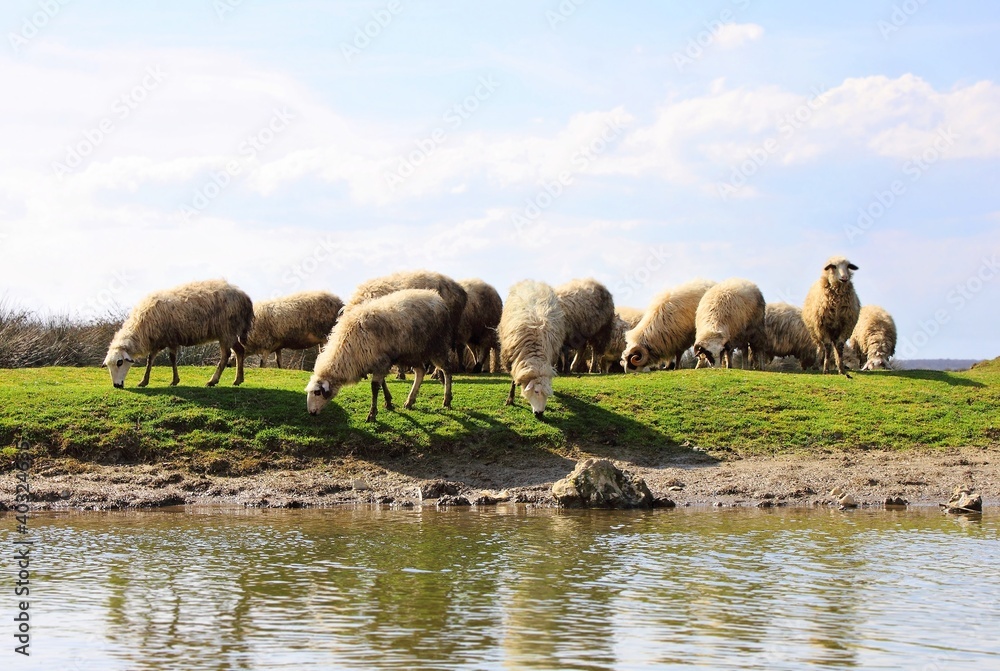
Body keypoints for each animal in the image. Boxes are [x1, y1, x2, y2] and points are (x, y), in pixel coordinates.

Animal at [103, 279, 253, 388]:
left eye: (120, 362)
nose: (116, 385)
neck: (141, 326)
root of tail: (244, 296)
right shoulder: (159, 341)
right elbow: (150, 360)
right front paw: (144, 381)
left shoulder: (170, 339)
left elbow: (172, 359)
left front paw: (174, 381)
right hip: (230, 332)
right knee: (240, 350)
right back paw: (238, 380)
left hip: (226, 330)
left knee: (225, 355)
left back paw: (213, 381)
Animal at [305, 289, 457, 422]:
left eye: (317, 392)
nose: (311, 413)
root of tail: (437, 297)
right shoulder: (379, 361)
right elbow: (382, 383)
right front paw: (388, 402)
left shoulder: (381, 361)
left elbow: (374, 387)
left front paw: (372, 414)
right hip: (413, 352)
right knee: (420, 372)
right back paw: (409, 401)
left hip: (438, 345)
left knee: (447, 370)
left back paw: (447, 400)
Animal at [499, 280, 567, 418]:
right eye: (536, 391)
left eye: (547, 394)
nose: (540, 414)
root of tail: (533, 281)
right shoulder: (512, 358)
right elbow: (514, 380)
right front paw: (510, 400)